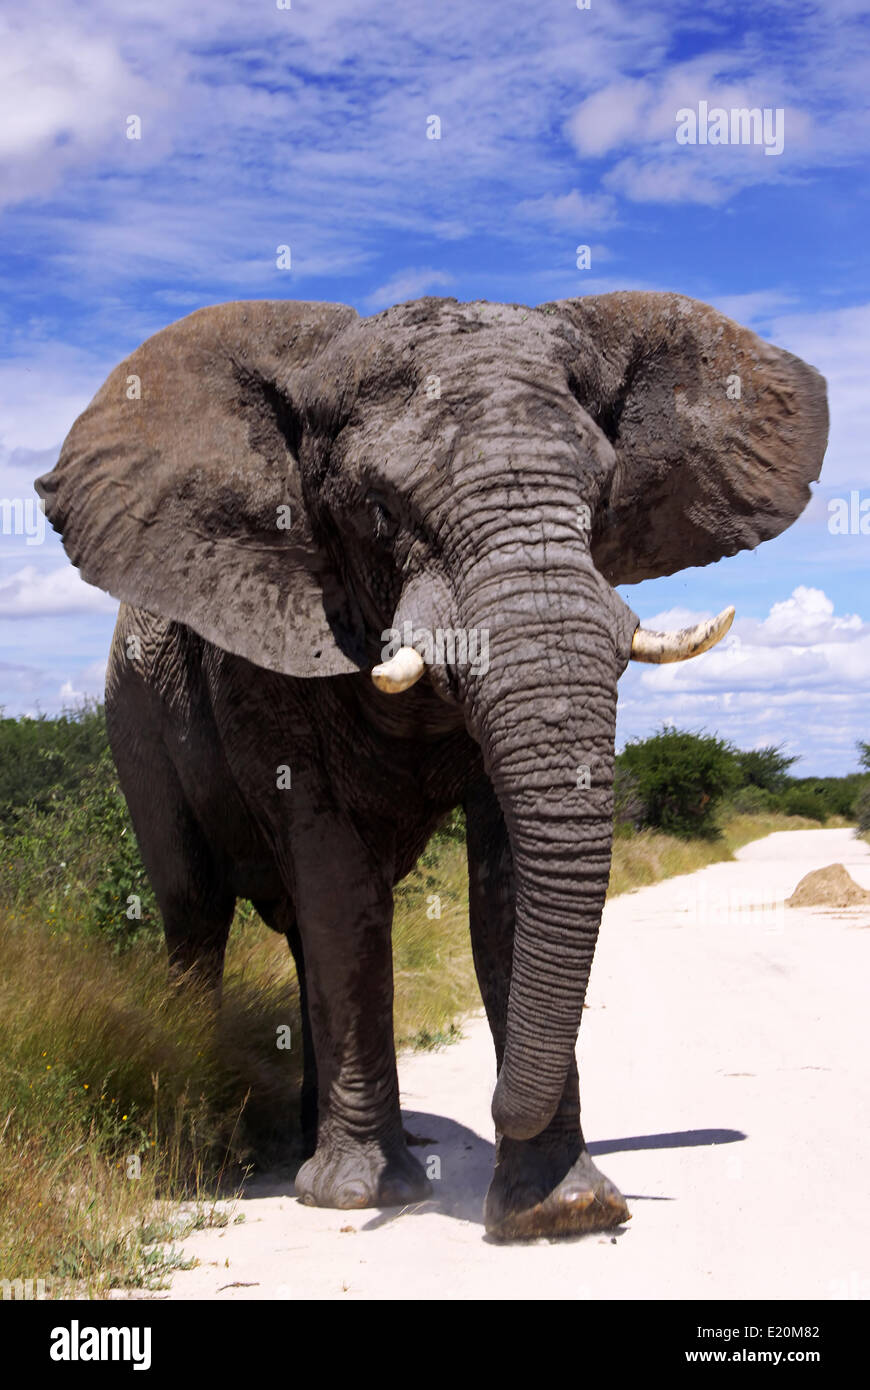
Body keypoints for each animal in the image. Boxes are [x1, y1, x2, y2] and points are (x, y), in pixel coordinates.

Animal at [35, 292, 828, 1239]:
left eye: (603, 496)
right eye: (377, 511)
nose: (490, 1105)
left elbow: (501, 888)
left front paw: (561, 1208)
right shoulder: (263, 659)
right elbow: (342, 889)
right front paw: (361, 1197)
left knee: (296, 934)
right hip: (134, 721)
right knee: (196, 915)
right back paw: (223, 1148)